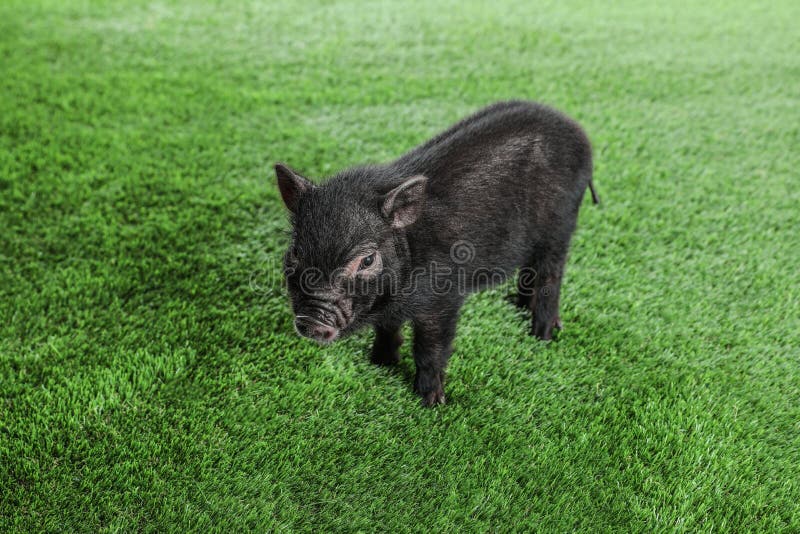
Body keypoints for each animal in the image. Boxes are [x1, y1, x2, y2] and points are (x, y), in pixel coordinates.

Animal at [275, 100, 598, 406]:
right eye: (295, 252)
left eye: (366, 260)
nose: (310, 320)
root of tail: (579, 133)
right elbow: (386, 328)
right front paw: (380, 364)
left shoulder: (443, 300)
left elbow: (430, 349)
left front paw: (431, 401)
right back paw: (517, 306)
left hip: (560, 226)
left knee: (550, 276)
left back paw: (542, 335)